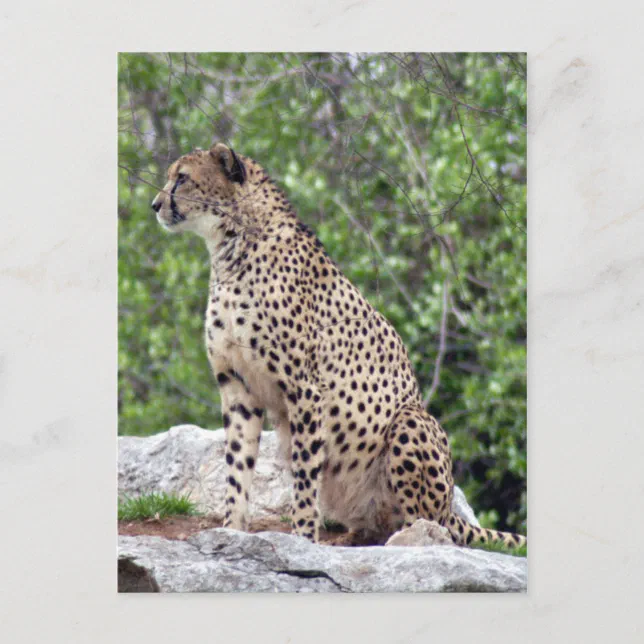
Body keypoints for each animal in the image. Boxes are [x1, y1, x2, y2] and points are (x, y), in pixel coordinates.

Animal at [151, 142, 527, 549]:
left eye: (181, 178)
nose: (155, 205)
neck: (231, 244)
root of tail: (450, 513)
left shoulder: (304, 389)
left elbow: (304, 476)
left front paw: (302, 539)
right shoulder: (236, 384)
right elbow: (237, 466)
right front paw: (231, 531)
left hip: (410, 422)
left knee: (431, 526)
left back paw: (413, 537)